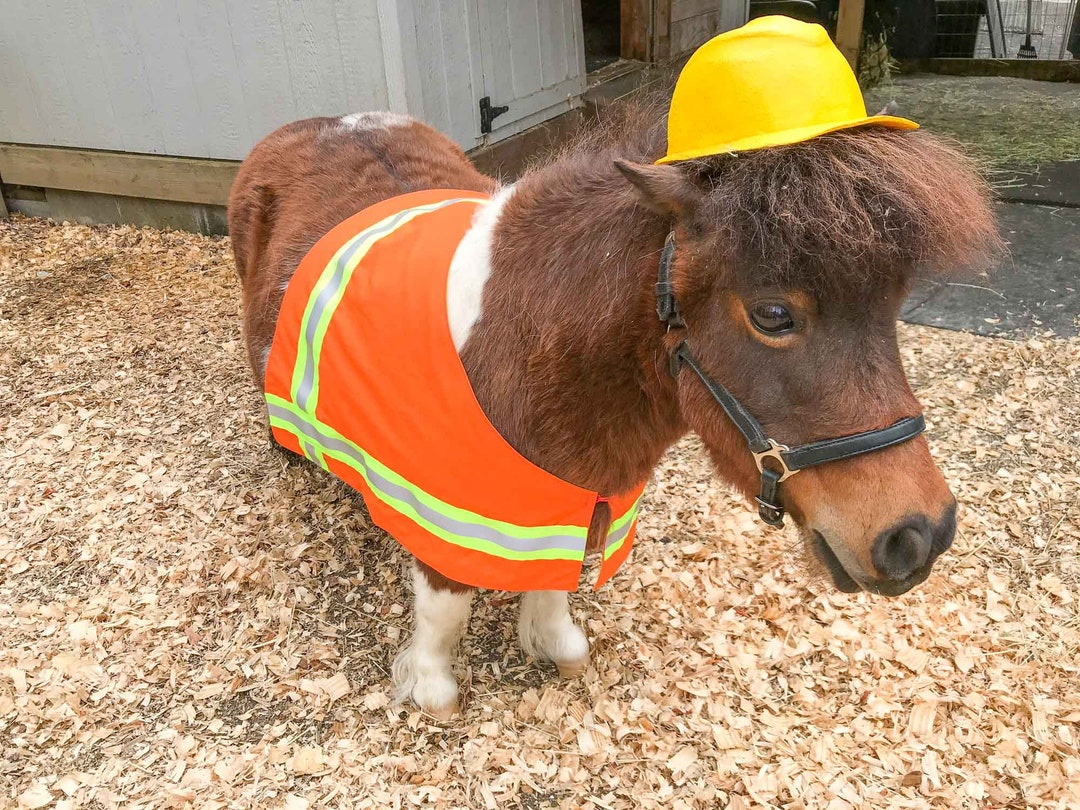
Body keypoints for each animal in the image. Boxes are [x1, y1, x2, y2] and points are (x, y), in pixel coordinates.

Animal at [228, 103, 1001, 718]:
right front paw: (431, 689)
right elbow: (445, 608)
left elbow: (556, 577)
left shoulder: (575, 494)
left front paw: (553, 643)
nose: (921, 536)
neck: (518, 343)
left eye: (894, 307)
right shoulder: (441, 509)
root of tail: (323, 122)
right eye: (774, 315)